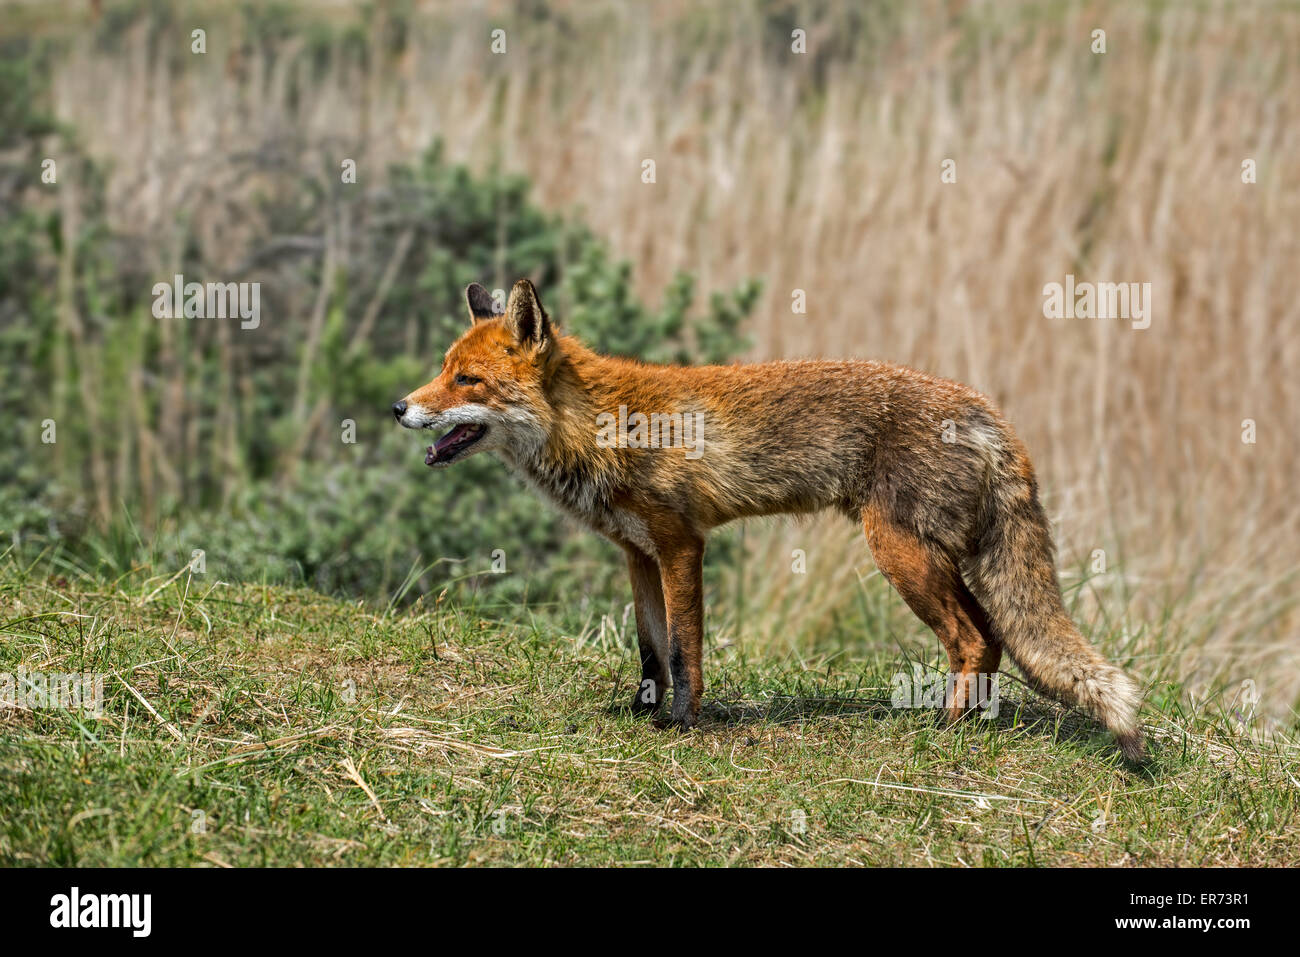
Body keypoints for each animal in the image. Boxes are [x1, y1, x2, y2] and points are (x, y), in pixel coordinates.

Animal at [394, 279, 1146, 761]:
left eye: (467, 382)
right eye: (443, 369)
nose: (399, 407)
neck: (602, 425)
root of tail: (990, 414)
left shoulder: (682, 543)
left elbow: (683, 650)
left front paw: (684, 724)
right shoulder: (637, 553)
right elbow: (648, 648)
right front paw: (643, 713)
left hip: (899, 552)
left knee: (973, 638)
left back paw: (947, 730)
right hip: (929, 557)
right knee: (991, 635)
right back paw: (974, 724)